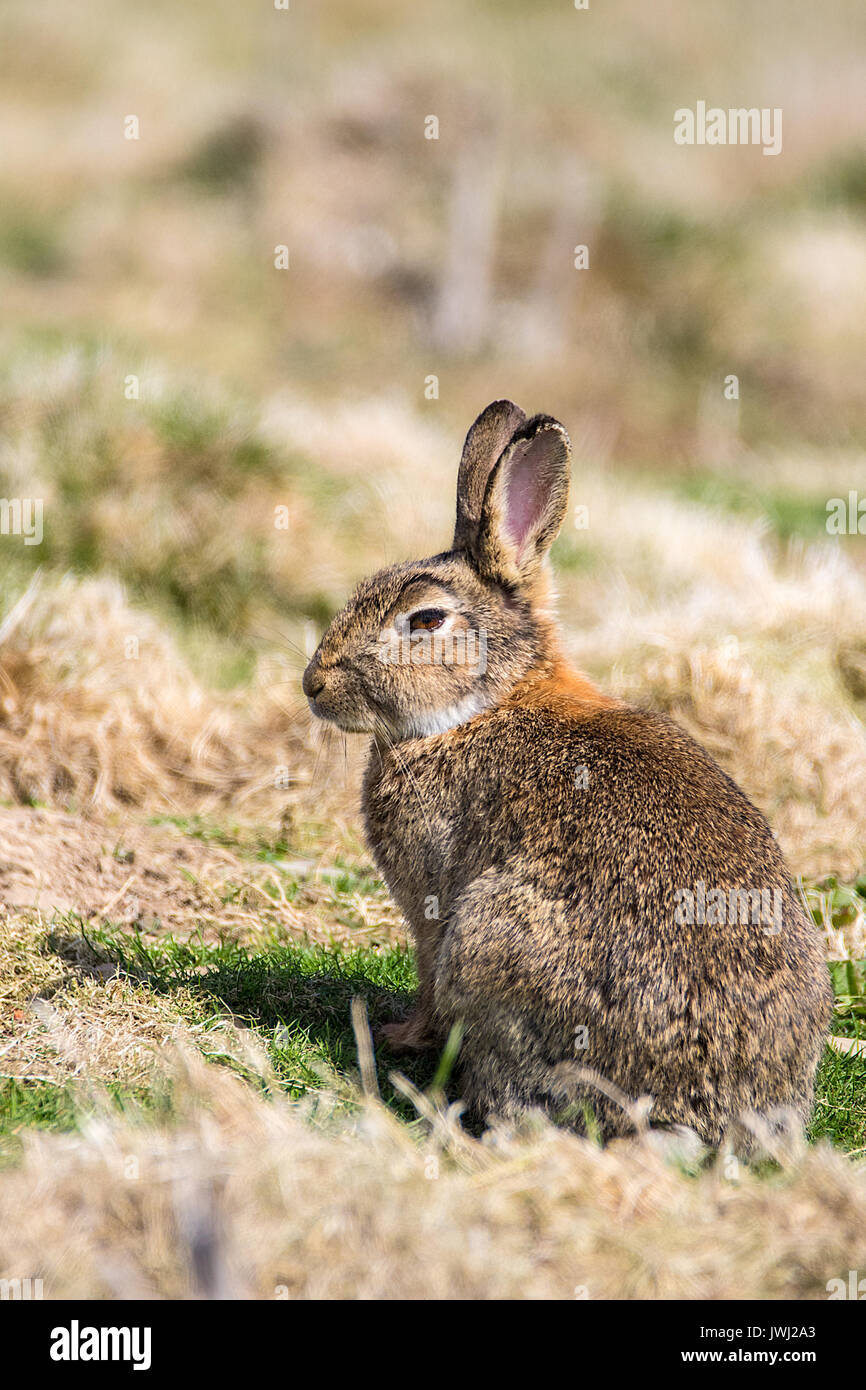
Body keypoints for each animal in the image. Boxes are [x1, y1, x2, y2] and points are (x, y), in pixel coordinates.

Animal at [302, 400, 833, 1147]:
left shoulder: (431, 905)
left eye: (426, 619)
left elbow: (427, 981)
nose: (312, 685)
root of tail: (703, 1114)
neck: (486, 701)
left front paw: (401, 1034)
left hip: (487, 939)